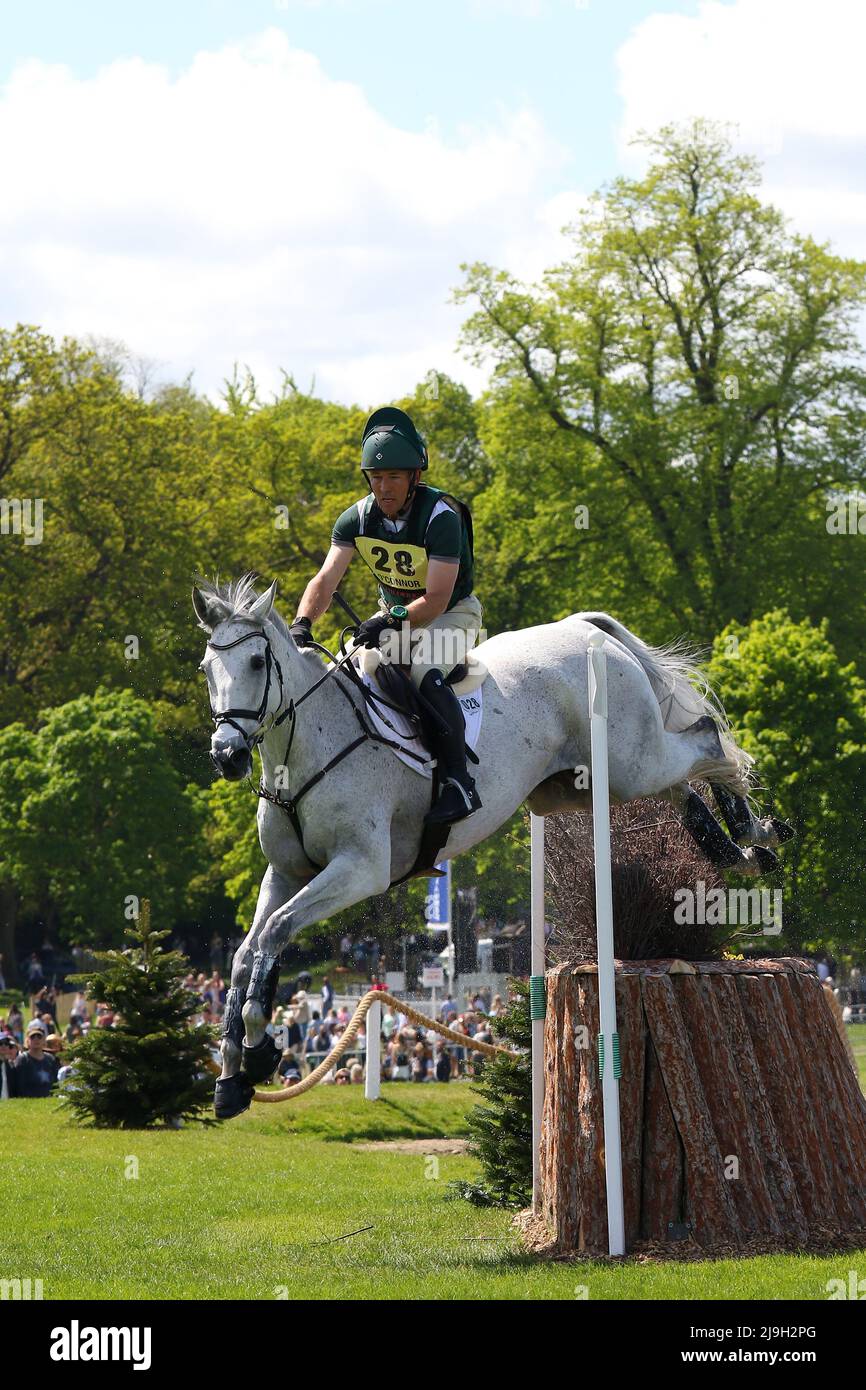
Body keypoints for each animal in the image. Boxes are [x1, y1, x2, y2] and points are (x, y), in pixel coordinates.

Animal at [192, 574, 790, 1118]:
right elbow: (246, 953)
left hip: (628, 760)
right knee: (683, 780)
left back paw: (758, 835)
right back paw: (735, 850)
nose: (227, 756)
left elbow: (275, 932)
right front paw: (231, 1077)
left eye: (255, 664)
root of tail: (581, 628)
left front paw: (259, 1045)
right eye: (206, 670)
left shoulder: (359, 868)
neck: (308, 746)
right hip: (592, 782)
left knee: (706, 738)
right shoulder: (286, 874)